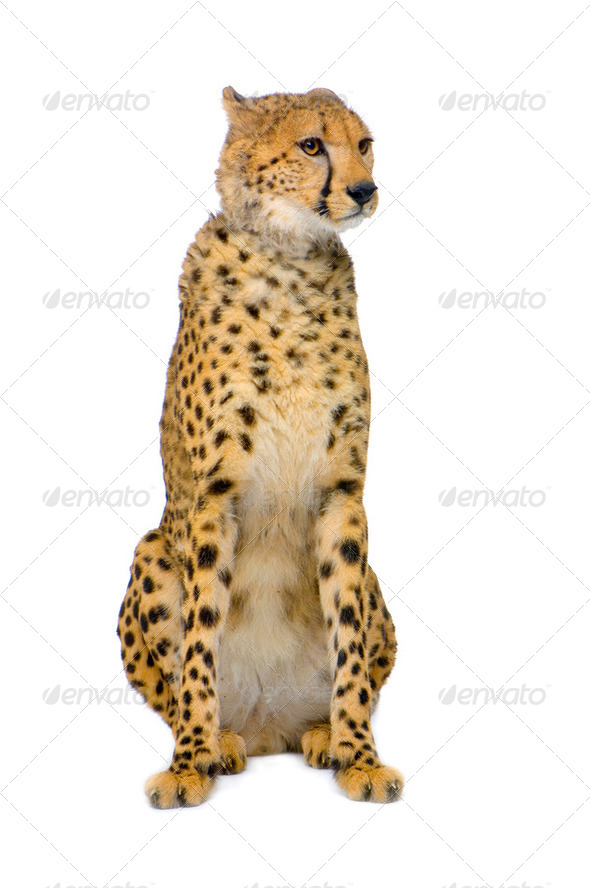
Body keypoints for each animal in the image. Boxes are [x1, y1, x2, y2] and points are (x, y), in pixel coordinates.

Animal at [117, 85, 403, 808]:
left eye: (366, 144)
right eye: (311, 145)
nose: (364, 189)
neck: (290, 260)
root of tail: (270, 726)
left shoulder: (342, 493)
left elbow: (349, 638)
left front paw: (359, 754)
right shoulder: (213, 498)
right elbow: (198, 639)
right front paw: (190, 762)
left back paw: (323, 733)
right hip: (151, 548)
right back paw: (220, 738)